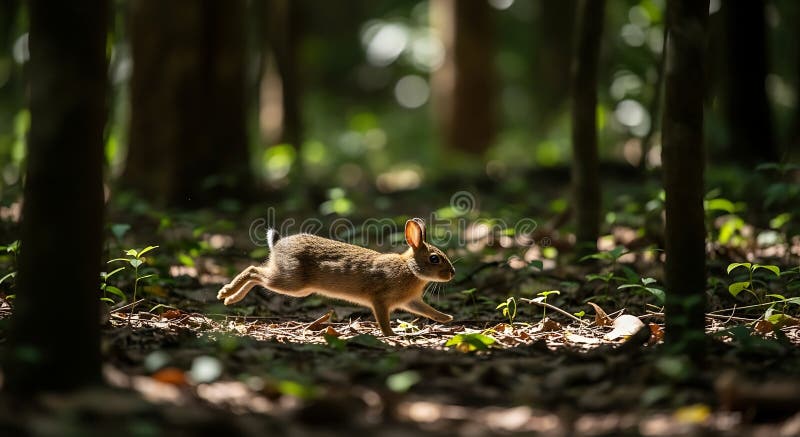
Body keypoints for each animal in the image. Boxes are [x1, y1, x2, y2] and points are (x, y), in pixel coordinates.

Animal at [217, 218, 455, 336]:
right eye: (434, 259)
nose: (452, 273)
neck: (410, 268)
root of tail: (277, 244)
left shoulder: (411, 302)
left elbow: (428, 311)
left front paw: (447, 319)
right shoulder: (380, 300)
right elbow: (383, 320)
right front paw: (391, 335)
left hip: (296, 286)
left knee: (256, 273)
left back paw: (229, 299)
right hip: (290, 282)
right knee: (253, 271)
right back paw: (226, 294)